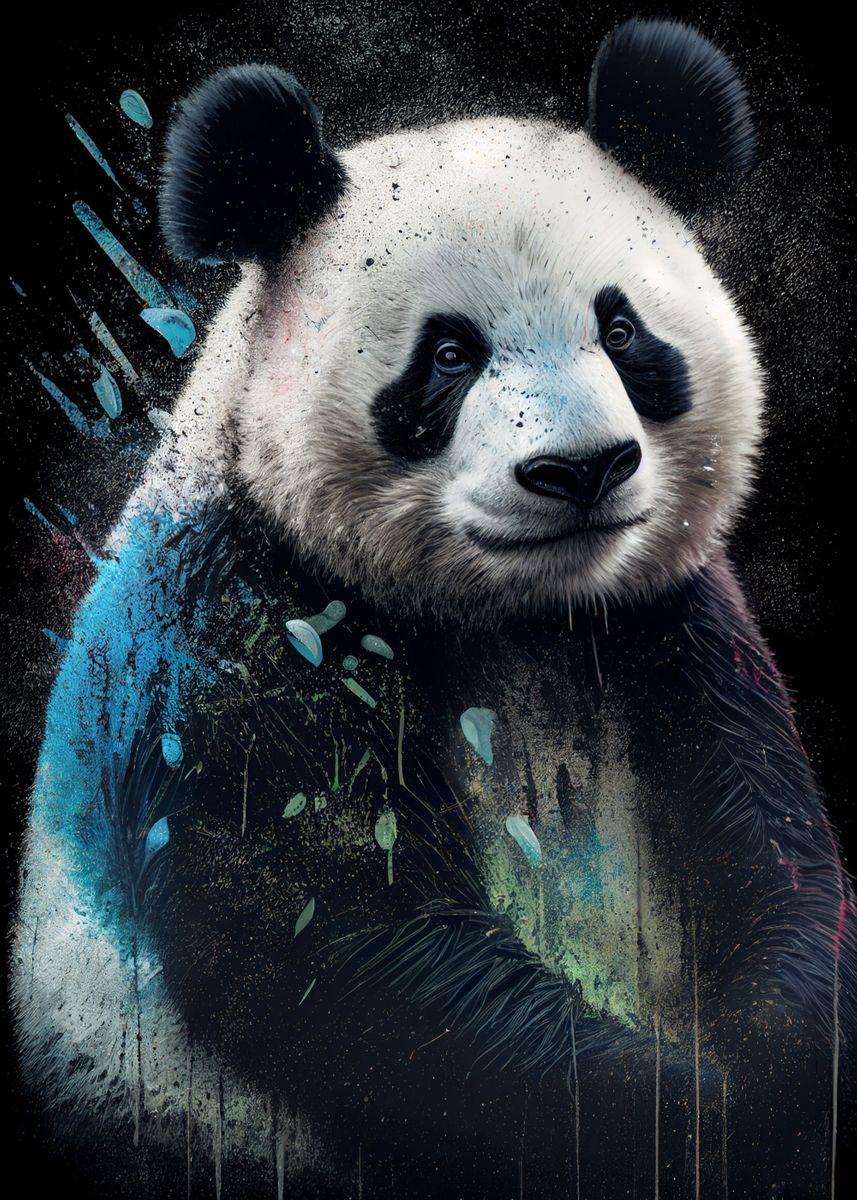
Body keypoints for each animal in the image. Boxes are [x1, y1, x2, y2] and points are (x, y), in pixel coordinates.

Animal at [11, 17, 855, 1200]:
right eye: (450, 354)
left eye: (621, 330)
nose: (581, 470)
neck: (516, 613)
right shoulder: (236, 622)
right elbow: (341, 939)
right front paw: (686, 1121)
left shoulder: (669, 624)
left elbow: (771, 850)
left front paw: (774, 1077)